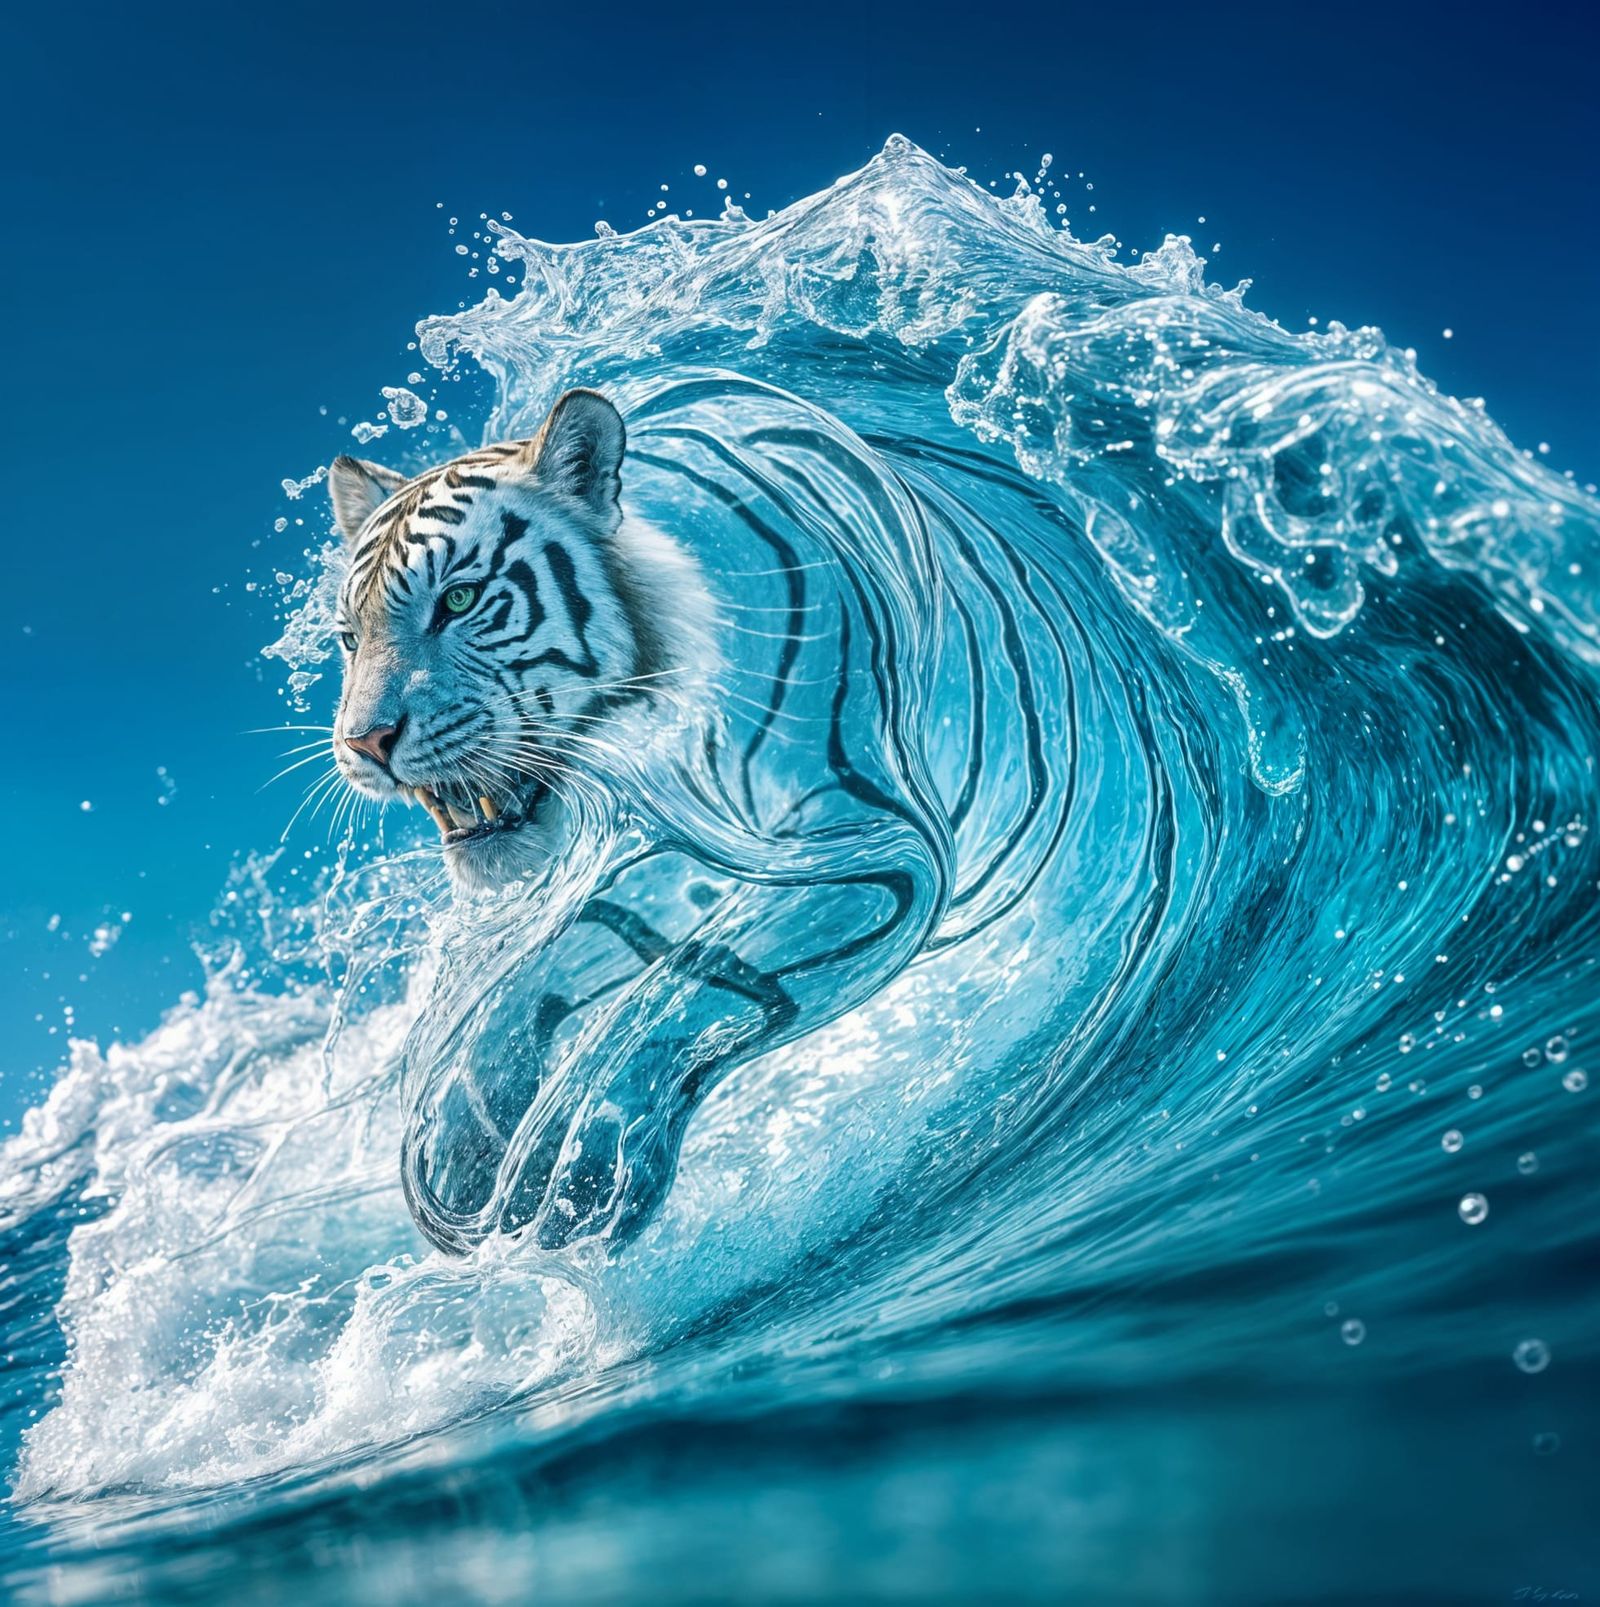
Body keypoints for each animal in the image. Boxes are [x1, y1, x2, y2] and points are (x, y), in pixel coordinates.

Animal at [328, 384, 1077, 1256]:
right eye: (349, 639)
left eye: (458, 599)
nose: (362, 742)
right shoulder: (661, 860)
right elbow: (568, 957)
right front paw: (467, 1132)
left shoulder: (878, 844)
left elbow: (693, 980)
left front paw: (577, 1159)